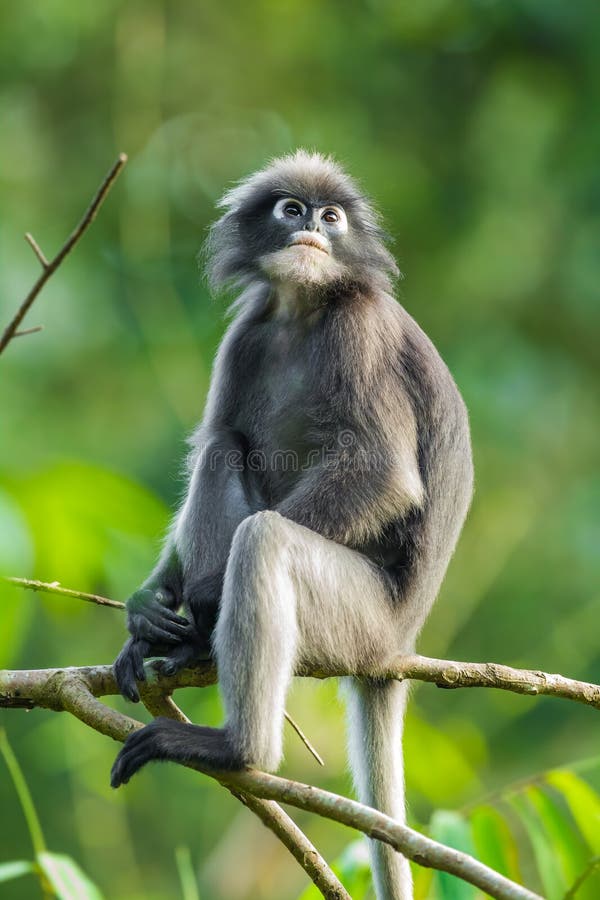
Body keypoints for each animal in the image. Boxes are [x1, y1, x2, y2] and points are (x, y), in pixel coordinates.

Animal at [110, 151, 473, 900]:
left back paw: (237, 745)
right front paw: (149, 606)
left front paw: (205, 597)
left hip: (358, 620)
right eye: (292, 210)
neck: (306, 311)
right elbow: (218, 434)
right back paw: (185, 644)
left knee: (265, 538)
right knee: (225, 445)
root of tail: (398, 646)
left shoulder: (359, 329)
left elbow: (383, 475)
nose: (313, 227)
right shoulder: (247, 332)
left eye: (332, 217)